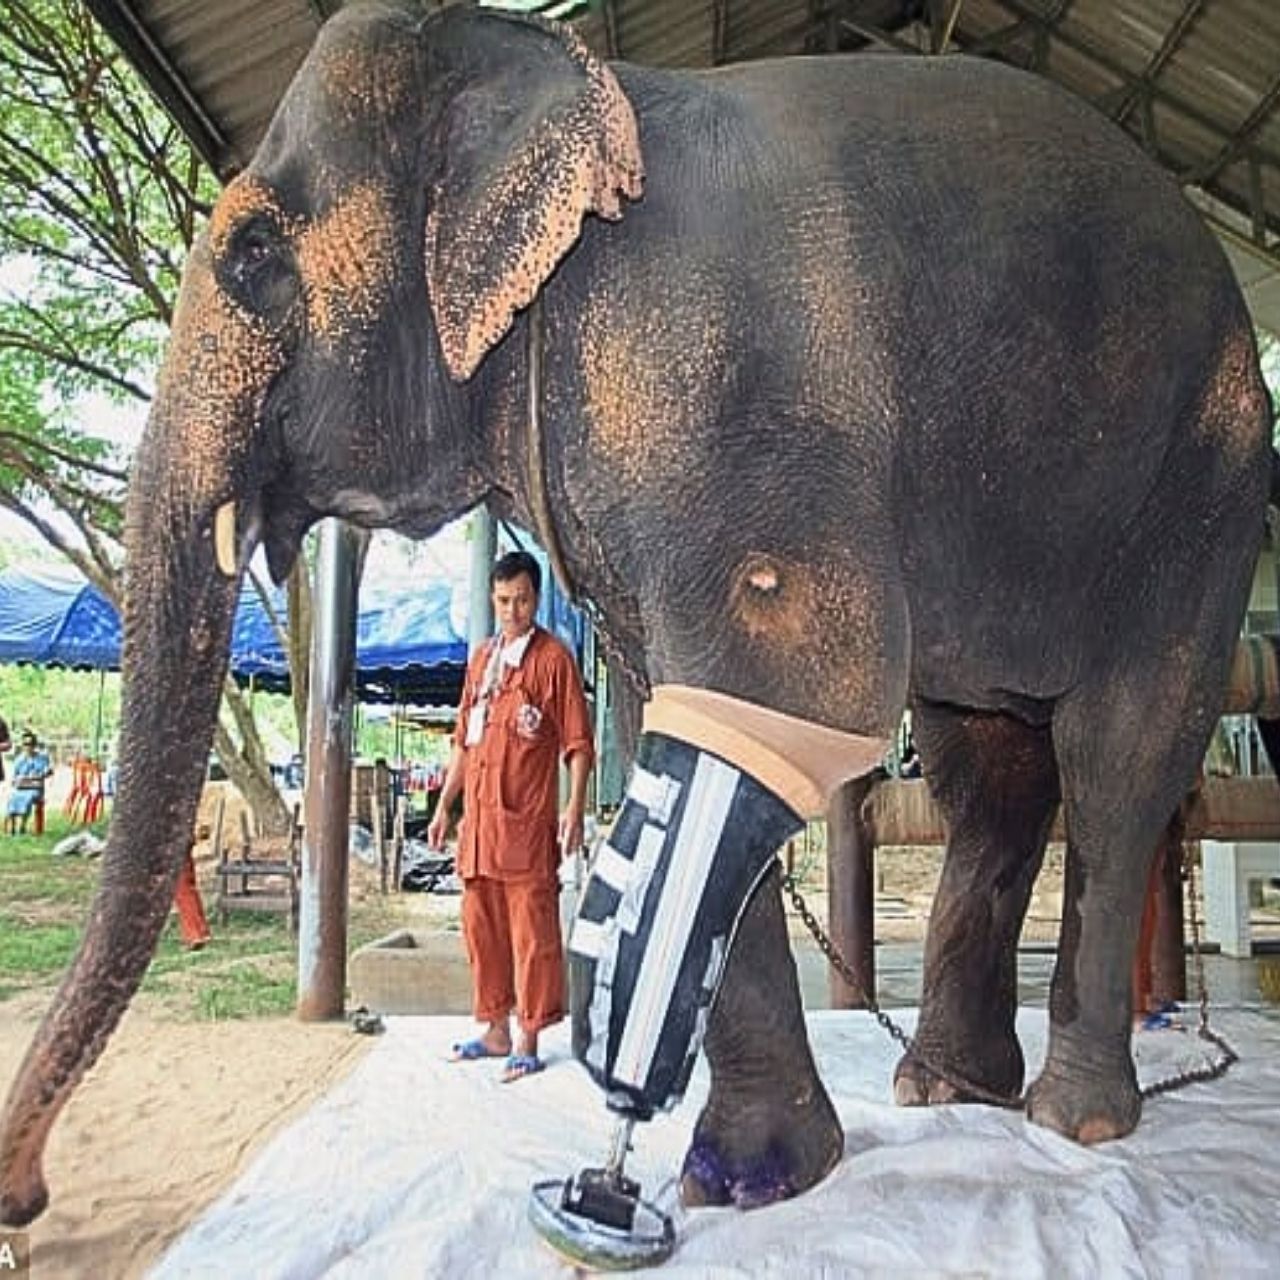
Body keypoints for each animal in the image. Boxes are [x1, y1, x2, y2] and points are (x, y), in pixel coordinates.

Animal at [1, 0, 1274, 1227]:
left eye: (253, 252)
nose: (29, 1195)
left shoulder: (711, 374)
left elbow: (791, 686)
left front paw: (698, 1164)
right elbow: (689, 705)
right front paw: (751, 1176)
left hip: (1203, 478)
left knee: (1116, 755)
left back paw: (1075, 1117)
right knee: (987, 770)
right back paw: (944, 1086)